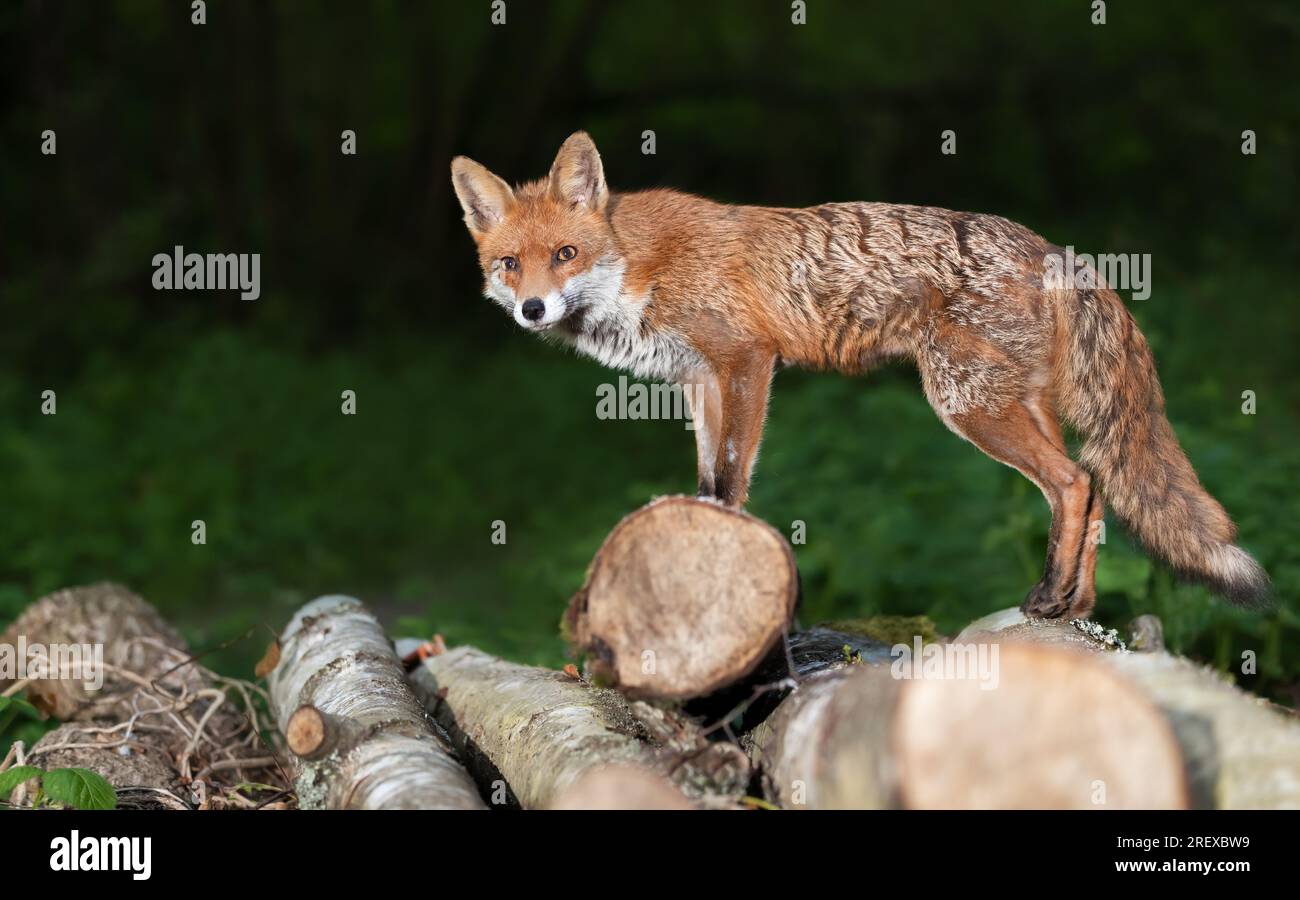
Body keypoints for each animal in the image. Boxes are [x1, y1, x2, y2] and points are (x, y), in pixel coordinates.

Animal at [451, 131, 1269, 619]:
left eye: (565, 255)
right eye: (509, 263)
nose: (531, 308)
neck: (637, 264)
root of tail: (1051, 248)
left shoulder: (746, 361)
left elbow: (733, 476)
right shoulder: (697, 380)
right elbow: (706, 480)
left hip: (966, 405)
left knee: (1073, 484)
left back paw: (1046, 596)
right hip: (1015, 405)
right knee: (1095, 489)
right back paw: (1077, 607)